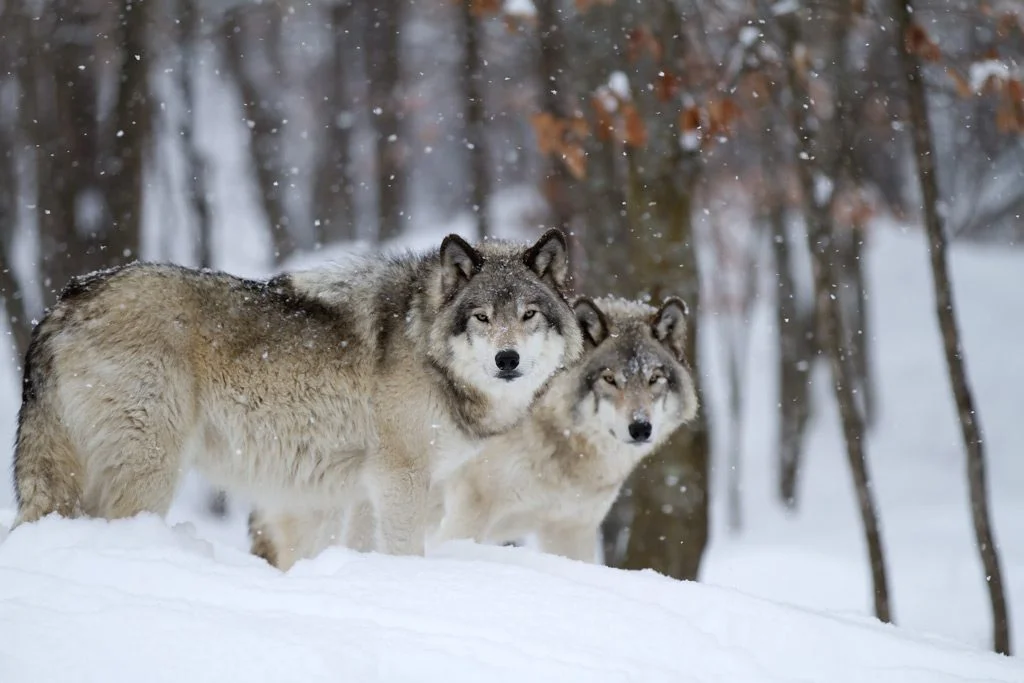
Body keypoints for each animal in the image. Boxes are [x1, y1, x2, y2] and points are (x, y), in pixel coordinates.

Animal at [12, 229, 583, 560]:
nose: (506, 360)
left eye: (528, 315)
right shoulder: (401, 477)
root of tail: (61, 304)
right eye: (481, 317)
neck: (423, 341)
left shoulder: (365, 487)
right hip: (150, 470)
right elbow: (405, 551)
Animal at [248, 295, 699, 566]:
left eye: (655, 379)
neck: (560, 445)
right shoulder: (468, 515)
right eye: (610, 379)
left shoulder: (571, 531)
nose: (640, 427)